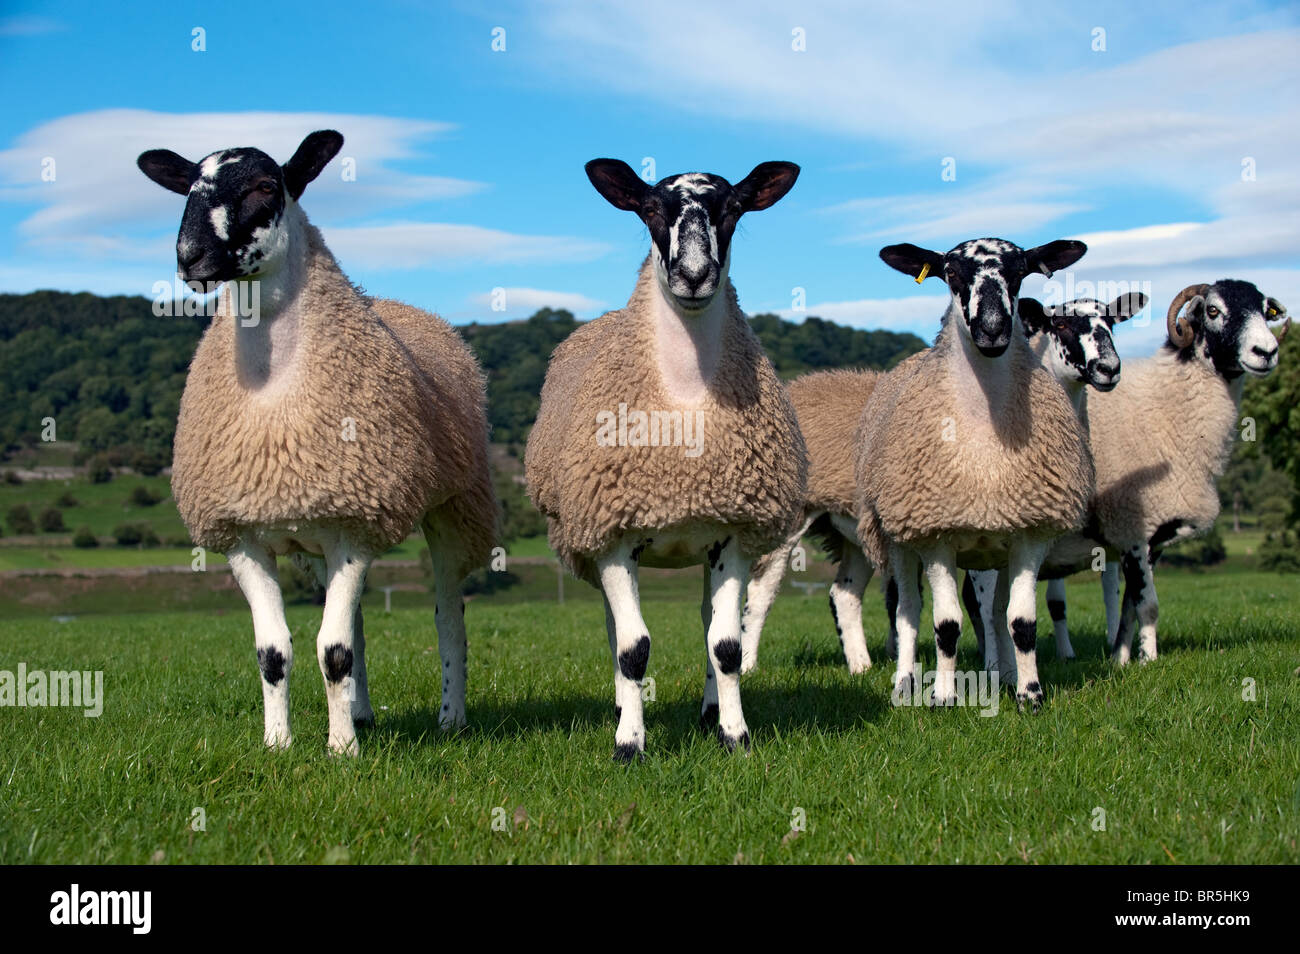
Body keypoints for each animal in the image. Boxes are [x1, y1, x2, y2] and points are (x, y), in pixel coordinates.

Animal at [137, 130, 497, 755]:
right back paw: (363, 712)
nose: (189, 258)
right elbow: (275, 653)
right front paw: (279, 745)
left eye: (265, 185)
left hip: (453, 508)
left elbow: (333, 651)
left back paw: (450, 717)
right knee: (355, 619)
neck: (272, 392)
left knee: (448, 615)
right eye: (186, 187)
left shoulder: (355, 524)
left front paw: (341, 751)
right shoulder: (243, 538)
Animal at [525, 158, 806, 760]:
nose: (695, 275)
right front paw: (630, 744)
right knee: (615, 630)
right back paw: (619, 711)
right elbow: (633, 649)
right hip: (589, 541)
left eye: (734, 208)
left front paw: (734, 735)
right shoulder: (612, 536)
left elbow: (726, 645)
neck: (684, 403)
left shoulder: (734, 531)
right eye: (650, 208)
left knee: (707, 623)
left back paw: (708, 711)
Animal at [854, 238, 1094, 711]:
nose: (993, 329)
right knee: (907, 610)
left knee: (996, 613)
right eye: (950, 273)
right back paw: (904, 683)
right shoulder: (934, 533)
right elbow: (946, 624)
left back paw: (1004, 676)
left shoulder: (1030, 532)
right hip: (897, 538)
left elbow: (1022, 622)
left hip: (997, 548)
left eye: (1020, 271)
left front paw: (1030, 694)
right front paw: (944, 698)